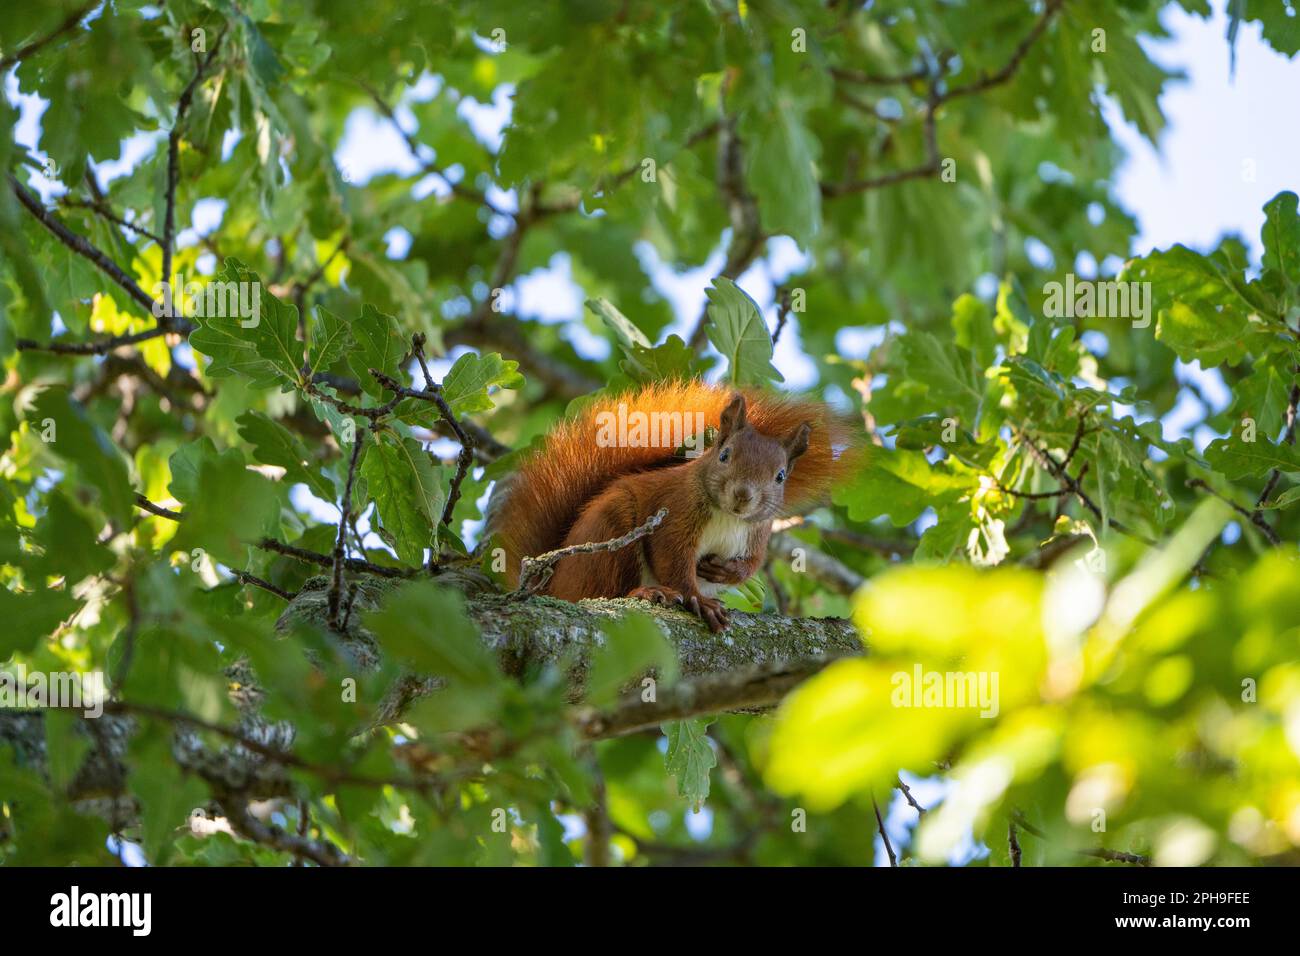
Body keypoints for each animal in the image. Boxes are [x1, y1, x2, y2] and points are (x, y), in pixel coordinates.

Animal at [490, 380, 858, 631]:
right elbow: (672, 558)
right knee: (606, 591)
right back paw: (647, 592)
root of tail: (551, 587)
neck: (728, 517)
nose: (743, 495)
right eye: (724, 455)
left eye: (780, 476)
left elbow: (752, 564)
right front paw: (700, 600)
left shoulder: (758, 533)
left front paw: (726, 573)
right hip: (613, 533)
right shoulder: (676, 511)